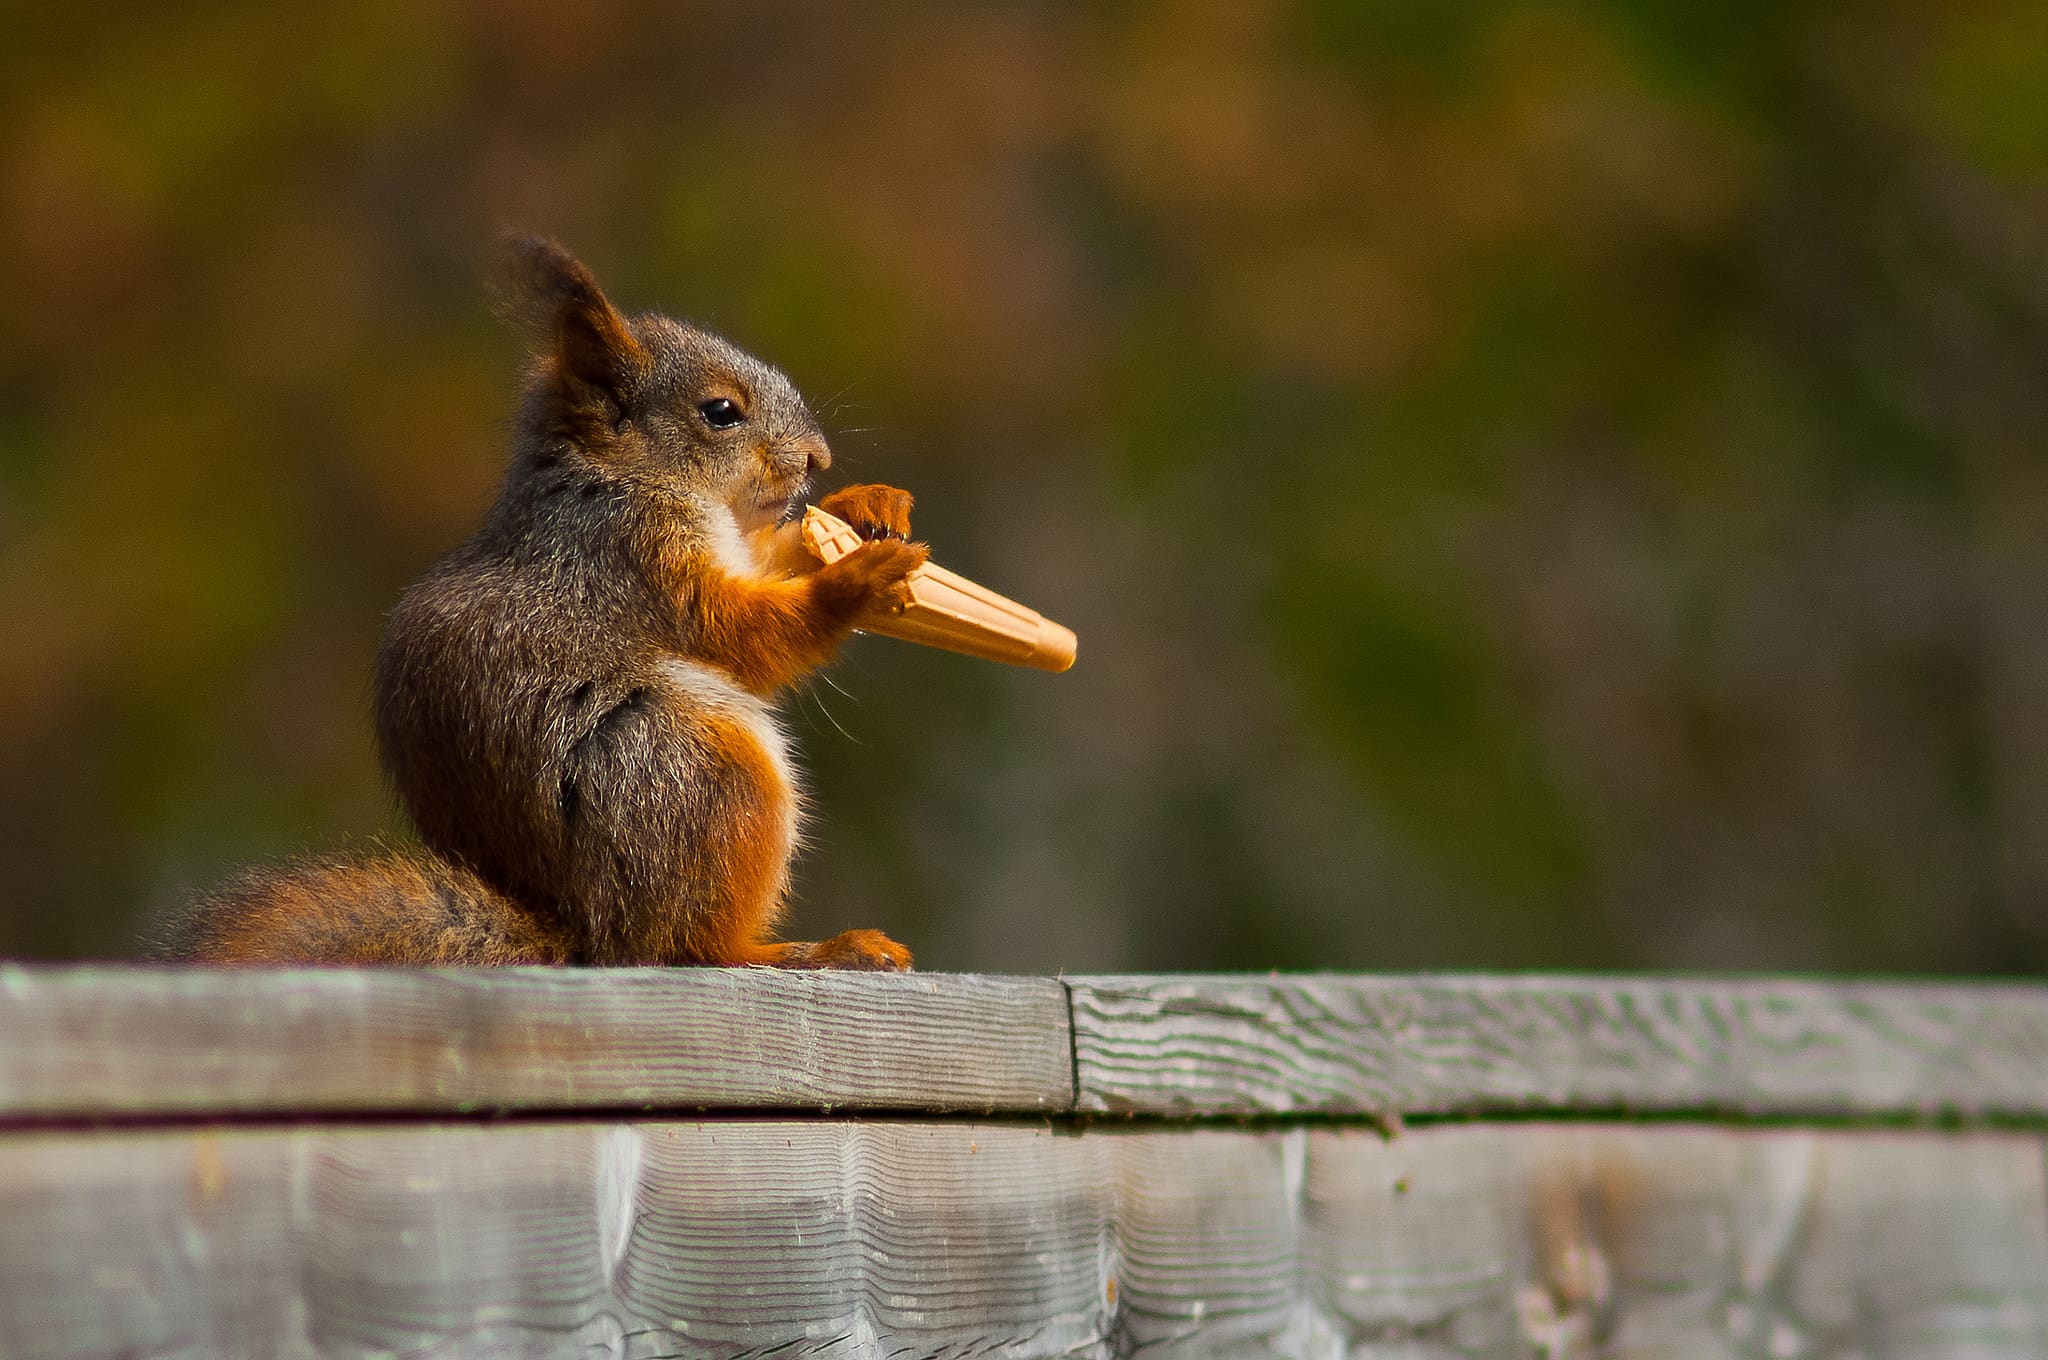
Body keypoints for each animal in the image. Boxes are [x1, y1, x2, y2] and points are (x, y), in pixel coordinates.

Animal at [155, 237, 924, 971]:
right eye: (721, 412)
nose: (818, 458)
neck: (621, 476)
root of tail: (584, 933)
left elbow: (766, 563)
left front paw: (867, 508)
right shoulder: (632, 558)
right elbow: (739, 631)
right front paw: (856, 579)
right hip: (698, 777)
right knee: (692, 946)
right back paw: (811, 949)